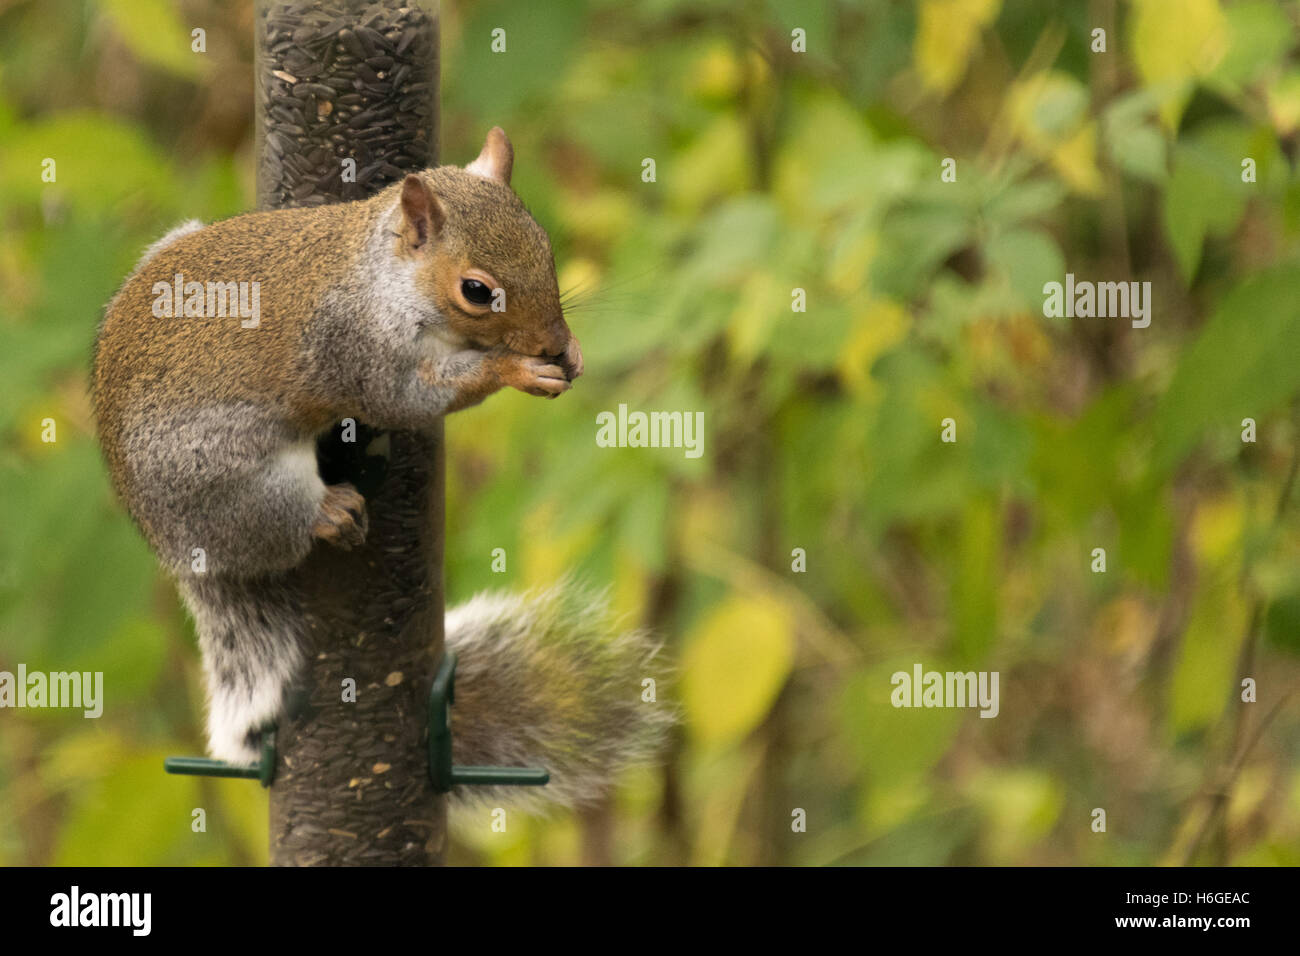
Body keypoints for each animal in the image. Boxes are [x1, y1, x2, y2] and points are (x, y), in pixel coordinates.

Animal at [92, 129, 670, 805]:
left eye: (546, 249)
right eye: (477, 291)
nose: (552, 341)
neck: (385, 279)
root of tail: (175, 546)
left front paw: (570, 353)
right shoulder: (354, 349)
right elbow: (404, 400)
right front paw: (515, 369)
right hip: (234, 477)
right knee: (281, 521)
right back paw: (330, 510)